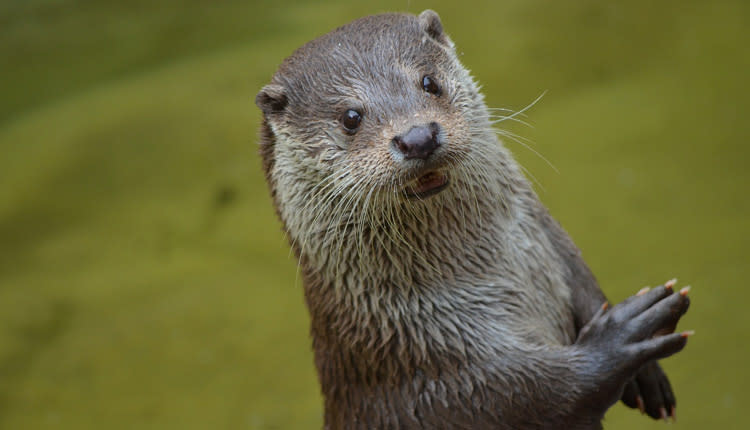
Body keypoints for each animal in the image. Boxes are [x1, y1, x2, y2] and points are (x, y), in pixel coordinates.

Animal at [255, 10, 692, 430]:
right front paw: (624, 336)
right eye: (350, 117)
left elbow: (584, 282)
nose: (417, 137)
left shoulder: (554, 244)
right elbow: (537, 394)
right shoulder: (439, 373)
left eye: (429, 83)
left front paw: (647, 375)